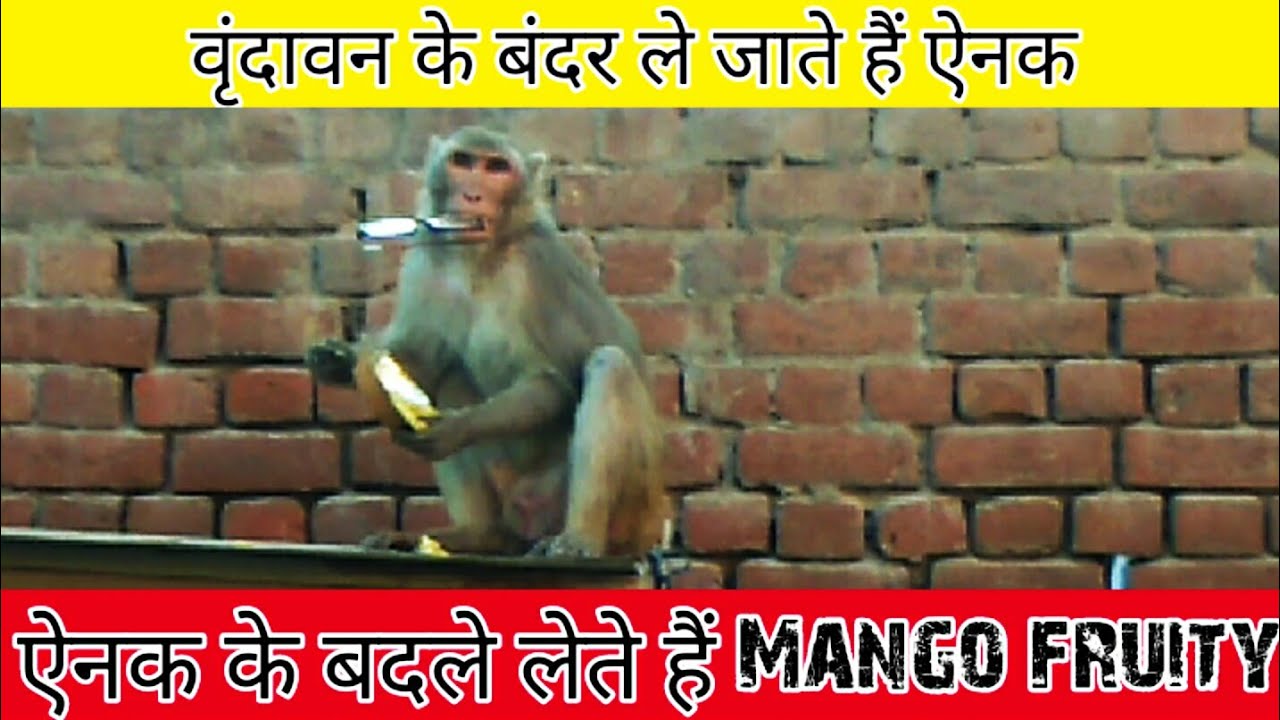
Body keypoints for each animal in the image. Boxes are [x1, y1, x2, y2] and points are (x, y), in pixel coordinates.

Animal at [307, 125, 668, 560]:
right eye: (463, 161)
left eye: (497, 168)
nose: (473, 195)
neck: (479, 257)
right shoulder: (427, 259)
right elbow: (420, 358)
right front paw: (338, 361)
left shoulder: (534, 269)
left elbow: (551, 383)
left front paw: (457, 428)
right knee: (450, 376)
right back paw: (478, 535)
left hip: (631, 509)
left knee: (610, 365)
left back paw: (580, 540)